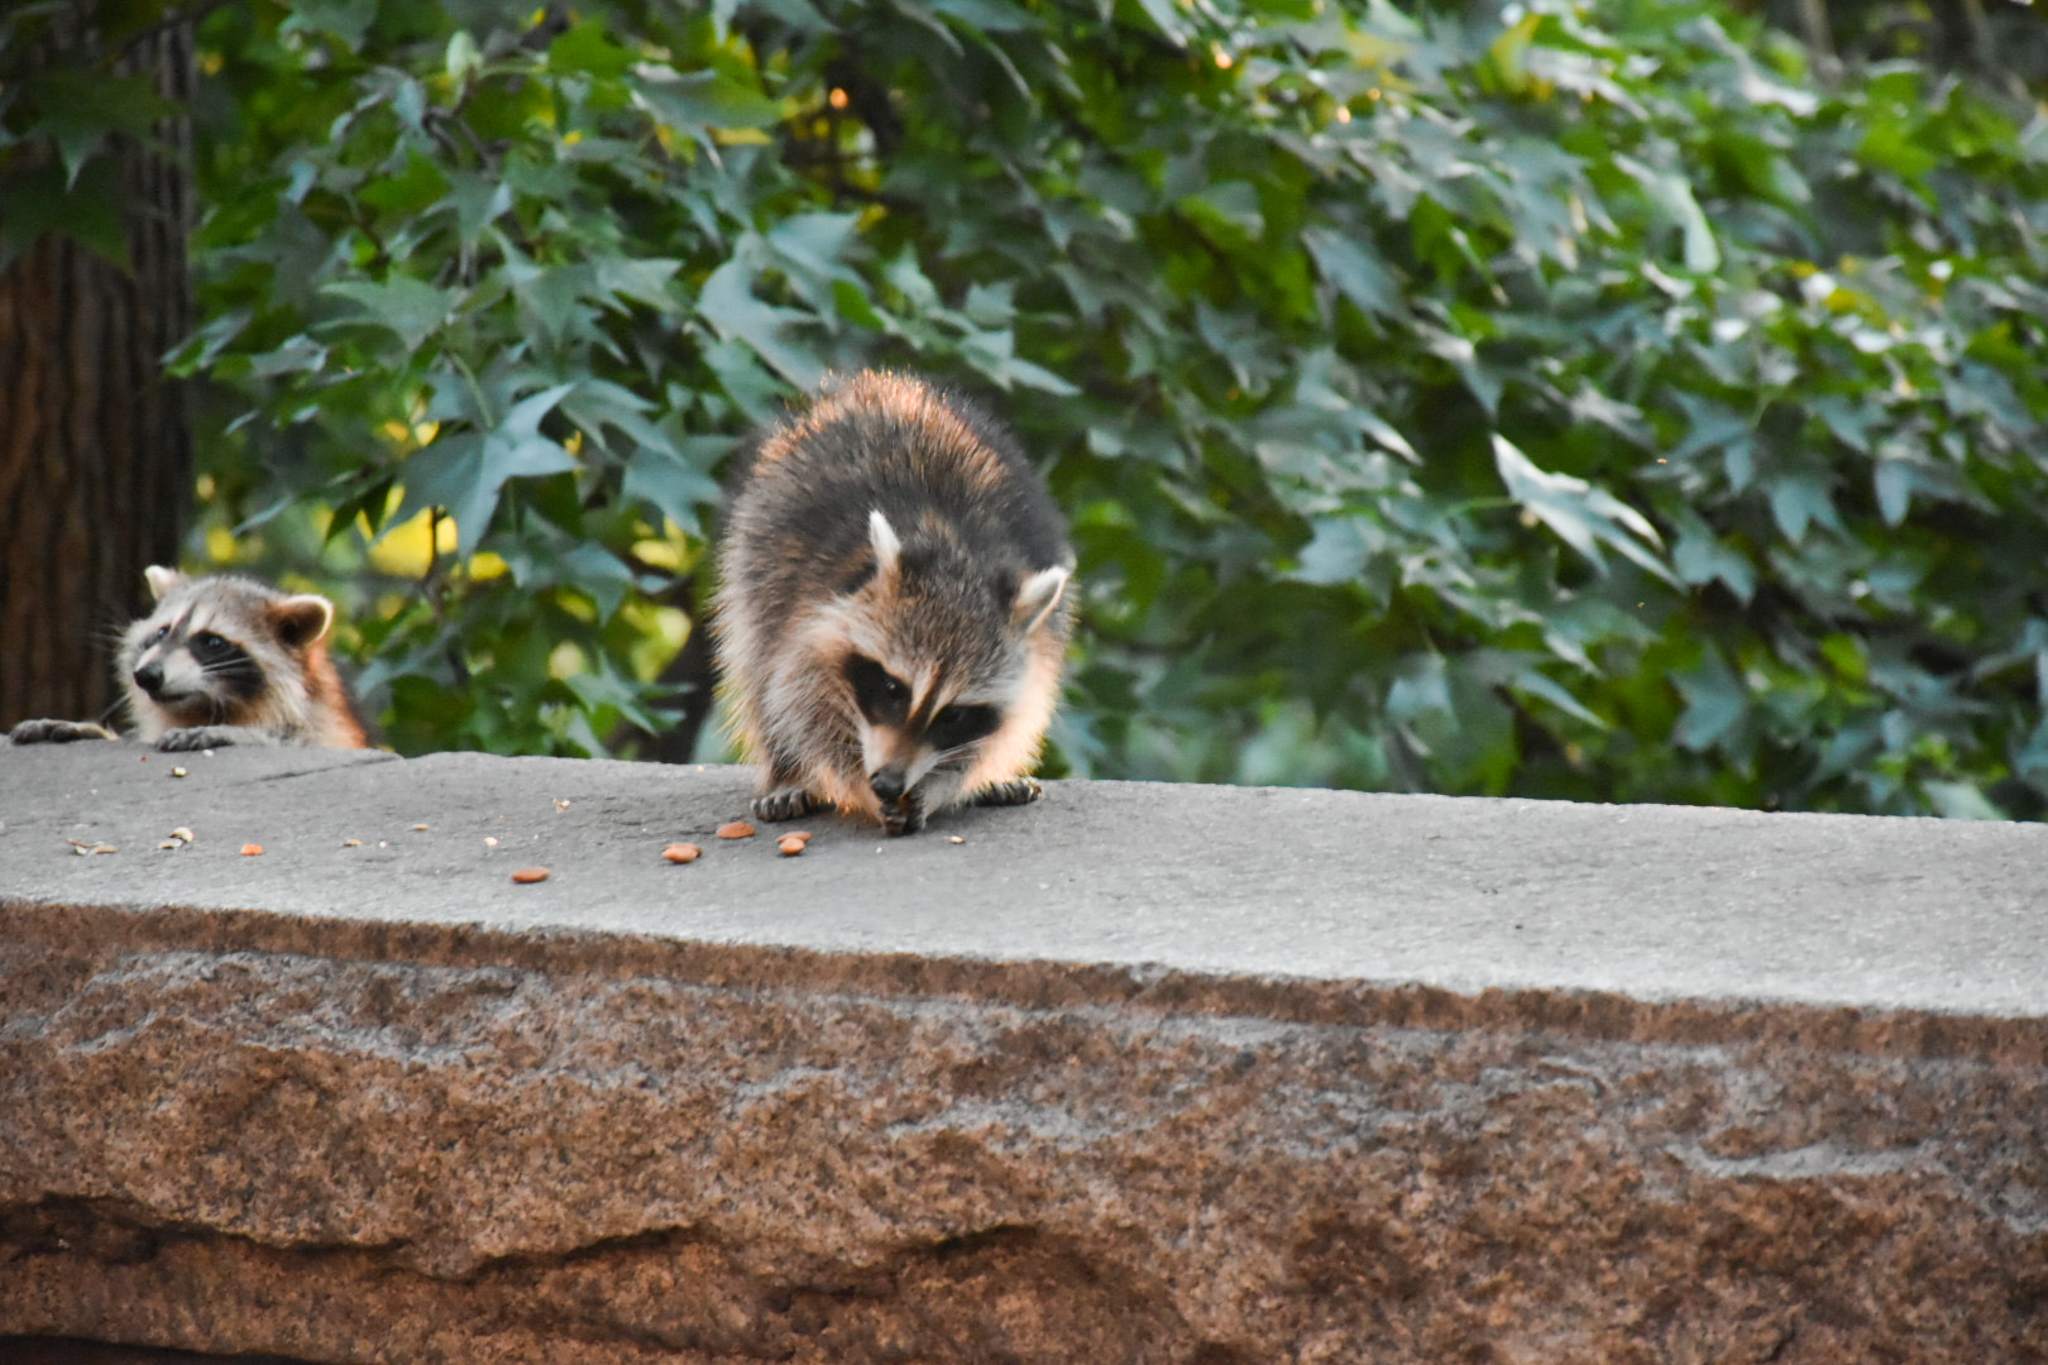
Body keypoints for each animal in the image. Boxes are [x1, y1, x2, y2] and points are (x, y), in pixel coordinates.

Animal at [8, 566, 370, 752]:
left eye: (211, 641)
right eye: (161, 632)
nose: (147, 675)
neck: (199, 709)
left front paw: (232, 732)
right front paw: (90, 729)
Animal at [713, 371, 1074, 836]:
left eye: (954, 716)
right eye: (892, 689)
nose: (887, 783)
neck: (958, 559)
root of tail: (888, 386)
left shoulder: (1038, 648)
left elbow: (1001, 729)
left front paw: (939, 788)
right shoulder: (807, 609)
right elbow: (798, 704)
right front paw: (858, 785)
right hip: (754, 555)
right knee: (759, 672)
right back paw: (785, 772)